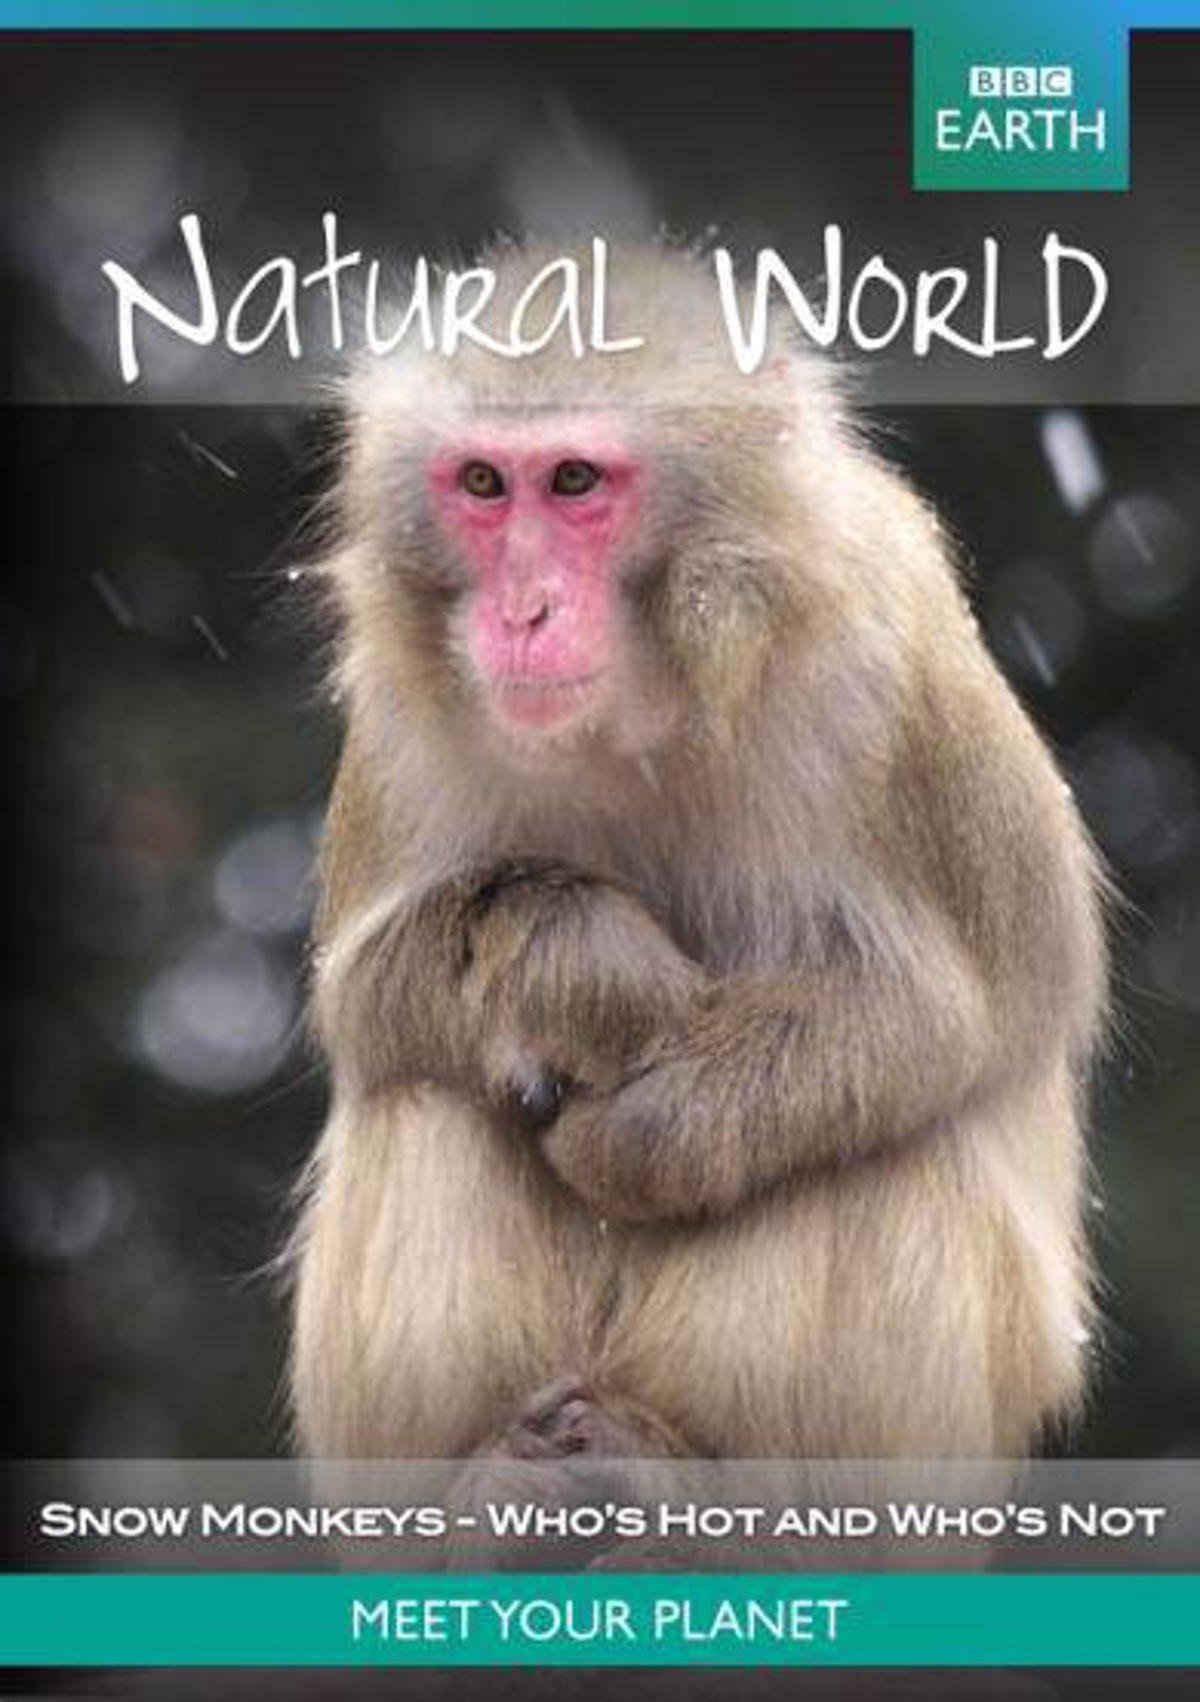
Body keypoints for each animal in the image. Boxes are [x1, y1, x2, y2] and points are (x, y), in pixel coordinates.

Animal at [288, 238, 1107, 1480]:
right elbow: (364, 994)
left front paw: (643, 1130)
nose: (522, 613)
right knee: (428, 1096)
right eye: (482, 484)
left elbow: (982, 1003)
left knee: (884, 1151)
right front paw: (572, 961)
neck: (655, 702)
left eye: (576, 482)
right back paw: (503, 1481)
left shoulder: (890, 668)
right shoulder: (399, 713)